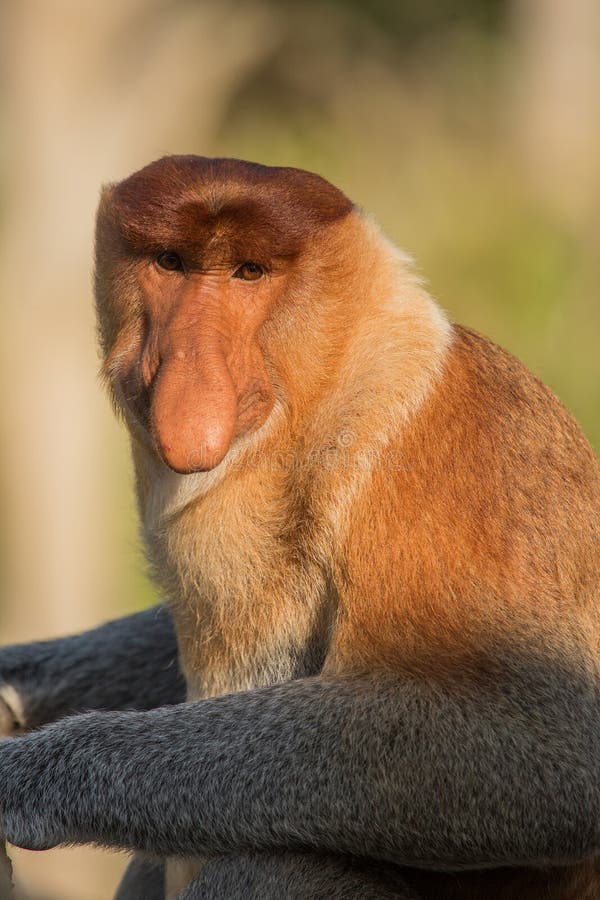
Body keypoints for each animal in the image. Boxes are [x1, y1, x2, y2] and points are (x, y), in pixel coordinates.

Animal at [0, 155, 599, 900]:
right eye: (170, 262)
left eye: (248, 273)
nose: (187, 374)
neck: (310, 405)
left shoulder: (452, 453)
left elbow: (550, 746)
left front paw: (27, 775)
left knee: (272, 865)